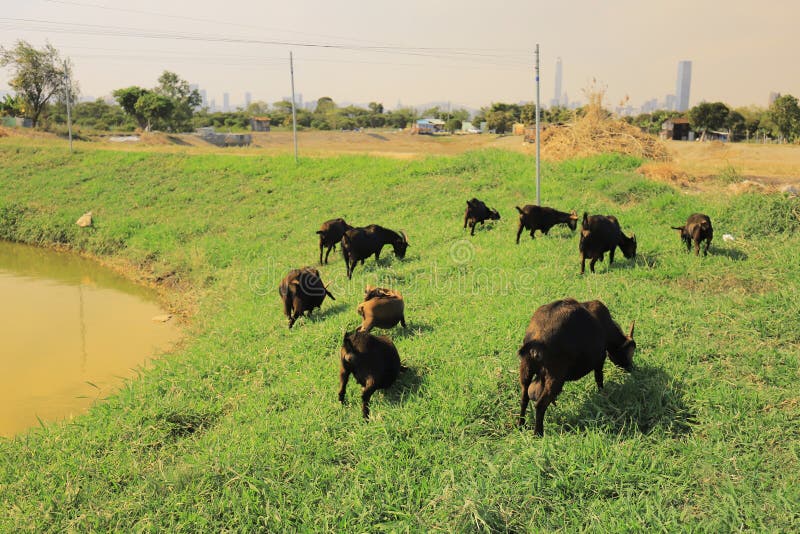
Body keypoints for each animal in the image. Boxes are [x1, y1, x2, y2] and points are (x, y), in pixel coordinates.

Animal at [518, 298, 636, 435]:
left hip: (526, 369)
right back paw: (538, 433)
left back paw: (521, 424)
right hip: (555, 375)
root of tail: (536, 340)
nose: (631, 368)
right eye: (629, 352)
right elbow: (599, 379)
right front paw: (603, 395)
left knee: (524, 397)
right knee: (540, 404)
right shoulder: (599, 359)